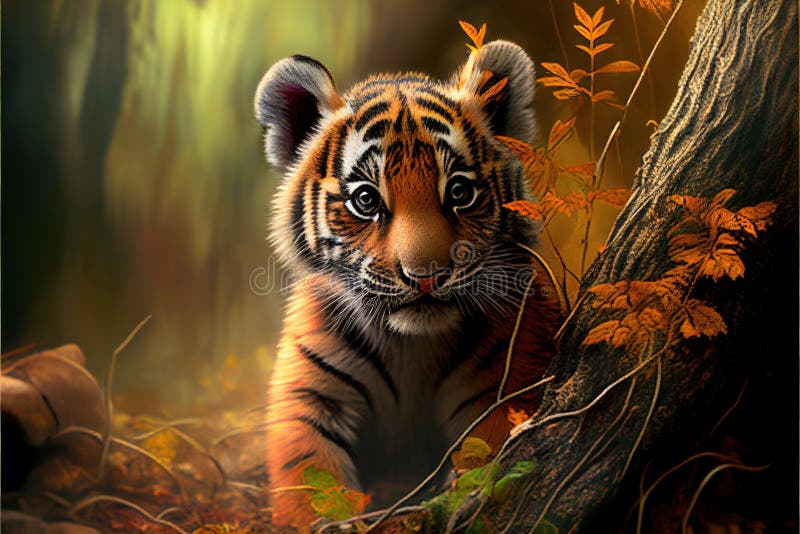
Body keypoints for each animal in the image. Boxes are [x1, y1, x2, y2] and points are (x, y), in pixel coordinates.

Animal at [254, 40, 562, 530]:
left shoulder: (508, 381)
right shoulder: (309, 397)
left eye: (459, 193)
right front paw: (333, 521)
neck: (410, 347)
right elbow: (309, 475)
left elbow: (486, 456)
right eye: (366, 200)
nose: (426, 276)